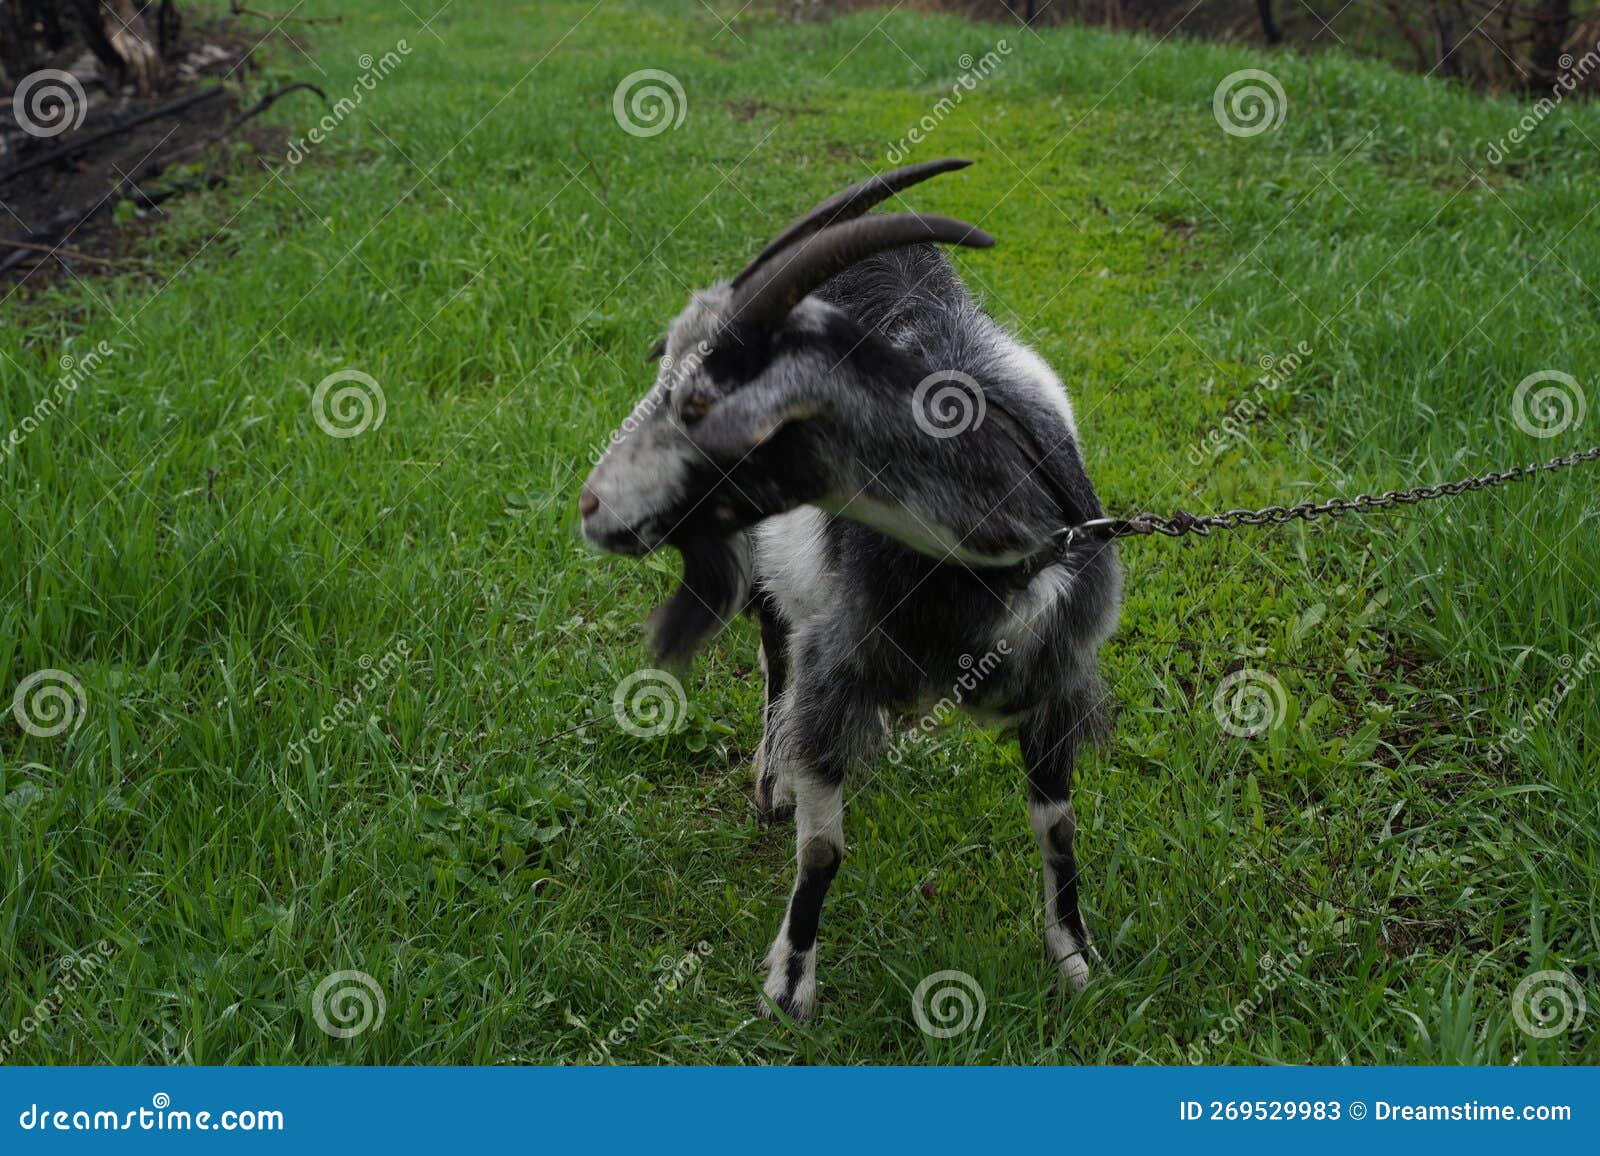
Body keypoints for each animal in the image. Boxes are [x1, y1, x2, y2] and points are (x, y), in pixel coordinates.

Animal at [579, 159, 1122, 1020]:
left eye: (701, 404)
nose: (592, 504)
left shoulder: (1058, 680)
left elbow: (1059, 829)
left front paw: (1075, 957)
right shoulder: (836, 670)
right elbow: (823, 847)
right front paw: (790, 985)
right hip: (776, 576)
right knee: (776, 657)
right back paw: (773, 779)